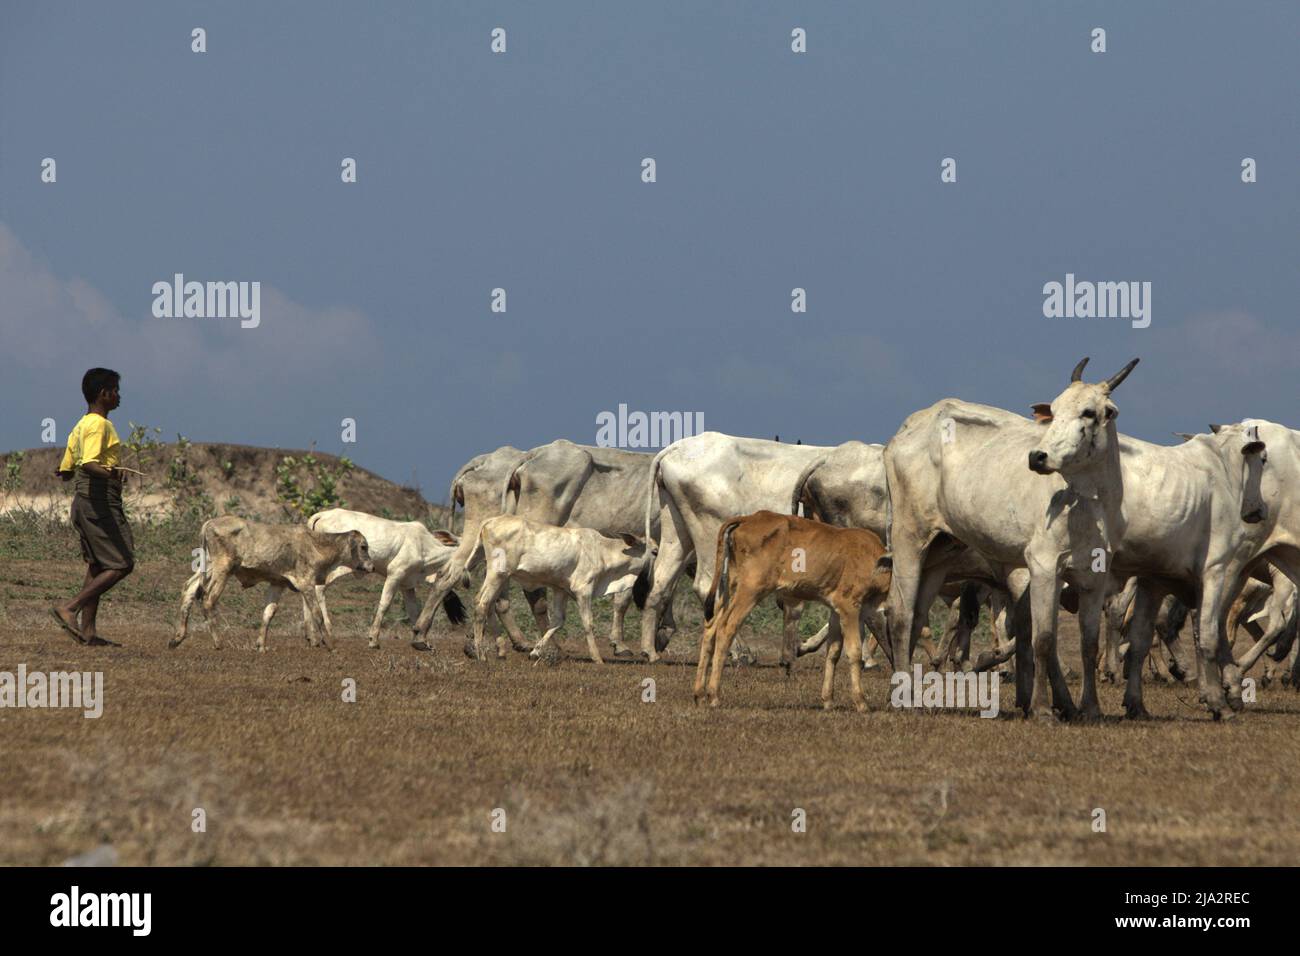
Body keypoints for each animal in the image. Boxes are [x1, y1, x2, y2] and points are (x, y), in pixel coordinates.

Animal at [172, 516, 375, 652]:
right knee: (208, 599)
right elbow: (318, 614)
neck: (316, 545)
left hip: (207, 566)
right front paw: (331, 645)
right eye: (363, 547)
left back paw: (177, 638)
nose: (372, 567)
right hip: (223, 568)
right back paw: (218, 643)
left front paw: (261, 646)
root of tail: (210, 522)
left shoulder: (278, 583)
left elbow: (268, 613)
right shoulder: (307, 583)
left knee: (188, 589)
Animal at [306, 509, 466, 649]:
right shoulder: (395, 574)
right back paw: (327, 631)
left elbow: (414, 612)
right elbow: (385, 604)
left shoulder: (407, 584)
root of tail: (322, 515)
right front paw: (373, 639)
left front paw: (420, 640)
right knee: (318, 590)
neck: (424, 548)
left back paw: (312, 637)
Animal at [468, 515, 651, 663]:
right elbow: (588, 623)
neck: (602, 551)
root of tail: (490, 521)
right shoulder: (583, 590)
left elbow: (558, 621)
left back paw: (500, 651)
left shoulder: (561, 589)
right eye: (654, 551)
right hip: (498, 573)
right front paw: (597, 658)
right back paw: (481, 655)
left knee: (488, 604)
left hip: (501, 577)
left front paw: (535, 652)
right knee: (482, 603)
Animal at [694, 511, 892, 710]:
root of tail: (749, 518)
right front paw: (861, 702)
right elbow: (854, 651)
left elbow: (833, 652)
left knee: (711, 625)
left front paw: (828, 700)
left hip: (730, 586)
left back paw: (699, 694)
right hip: (750, 590)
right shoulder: (849, 607)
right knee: (726, 627)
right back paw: (714, 695)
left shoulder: (837, 610)